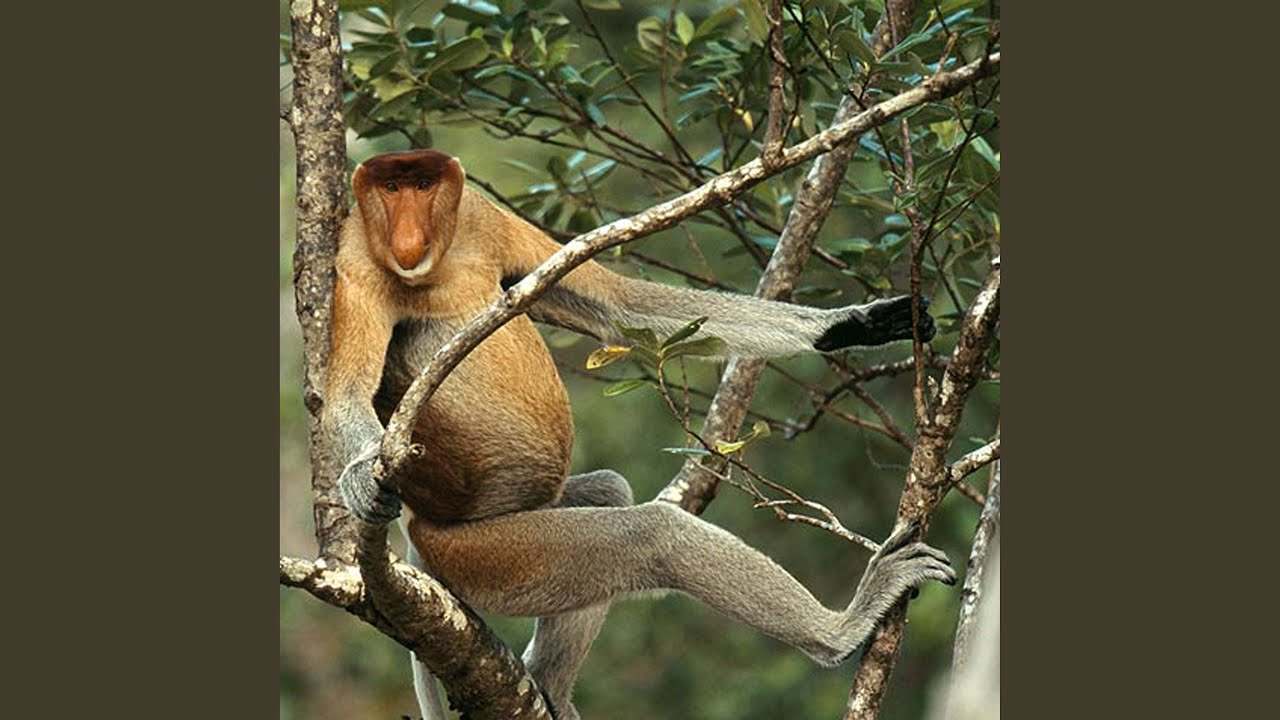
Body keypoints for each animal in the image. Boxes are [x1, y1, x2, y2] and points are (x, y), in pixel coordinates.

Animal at [322, 149, 954, 720]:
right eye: (390, 189)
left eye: (422, 186)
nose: (407, 234)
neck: (437, 261)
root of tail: (422, 530)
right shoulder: (355, 263)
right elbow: (345, 394)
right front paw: (361, 483)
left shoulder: (480, 216)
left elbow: (622, 305)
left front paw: (852, 323)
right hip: (484, 555)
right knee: (650, 536)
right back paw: (841, 630)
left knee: (610, 491)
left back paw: (548, 686)